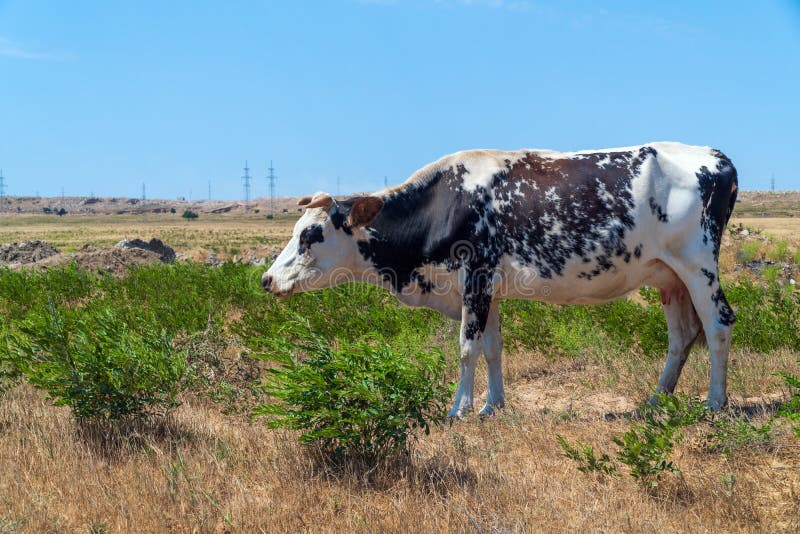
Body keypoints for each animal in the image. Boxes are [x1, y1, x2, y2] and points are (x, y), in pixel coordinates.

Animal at [262, 142, 738, 417]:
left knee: (718, 324)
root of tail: (715, 156)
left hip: (698, 264)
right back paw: (655, 401)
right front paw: (493, 406)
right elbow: (492, 348)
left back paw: (715, 403)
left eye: (310, 234)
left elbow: (466, 348)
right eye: (296, 229)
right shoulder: (485, 289)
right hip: (668, 276)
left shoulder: (476, 276)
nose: (266, 279)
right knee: (682, 335)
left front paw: (459, 409)